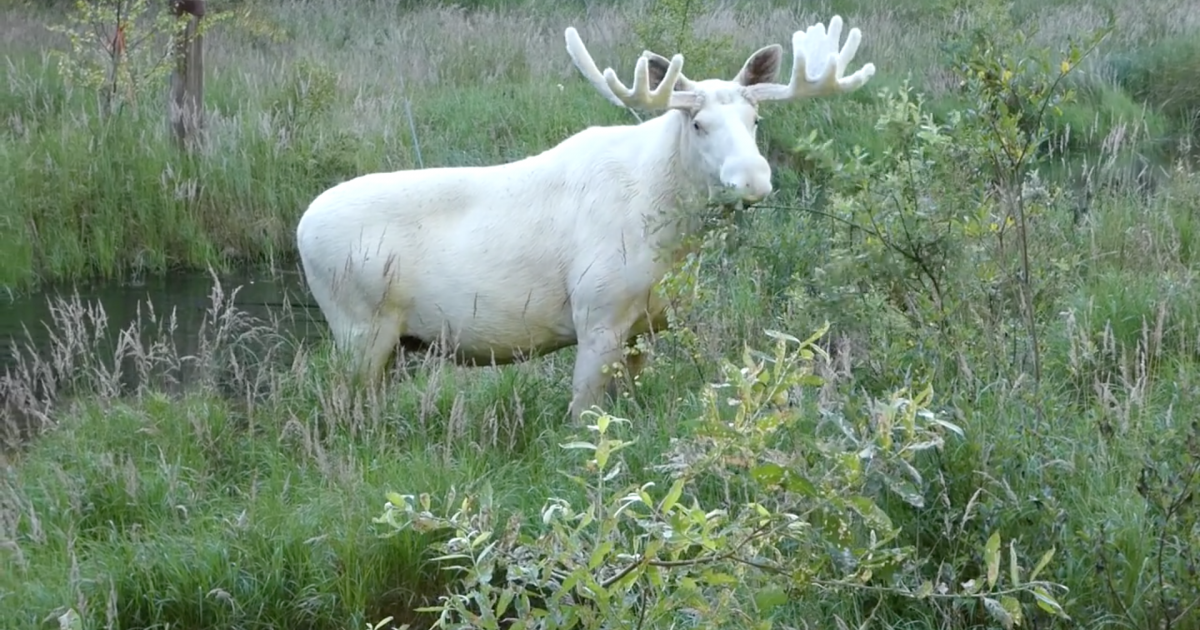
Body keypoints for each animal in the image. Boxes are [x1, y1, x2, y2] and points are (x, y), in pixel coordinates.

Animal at [294, 14, 876, 420]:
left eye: (755, 118)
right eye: (698, 124)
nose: (753, 179)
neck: (669, 235)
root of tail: (301, 228)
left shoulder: (646, 325)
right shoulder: (596, 311)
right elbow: (582, 415)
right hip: (357, 325)